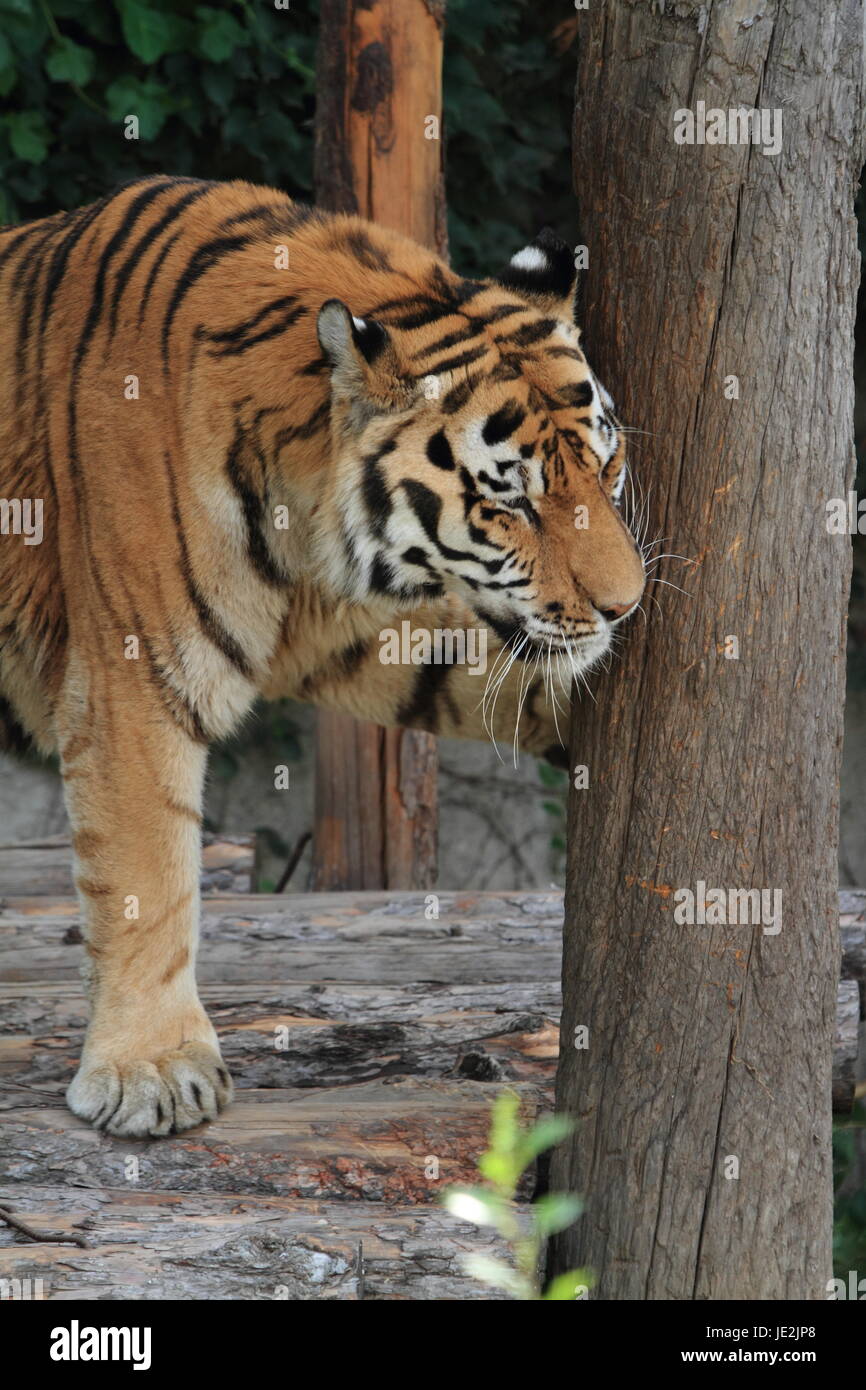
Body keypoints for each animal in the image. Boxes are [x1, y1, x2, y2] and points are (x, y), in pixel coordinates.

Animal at [0, 175, 645, 1138]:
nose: (625, 605)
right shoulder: (135, 676)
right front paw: (151, 1069)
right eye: (511, 504)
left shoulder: (365, 625)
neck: (301, 518)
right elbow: (147, 872)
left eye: (608, 470)